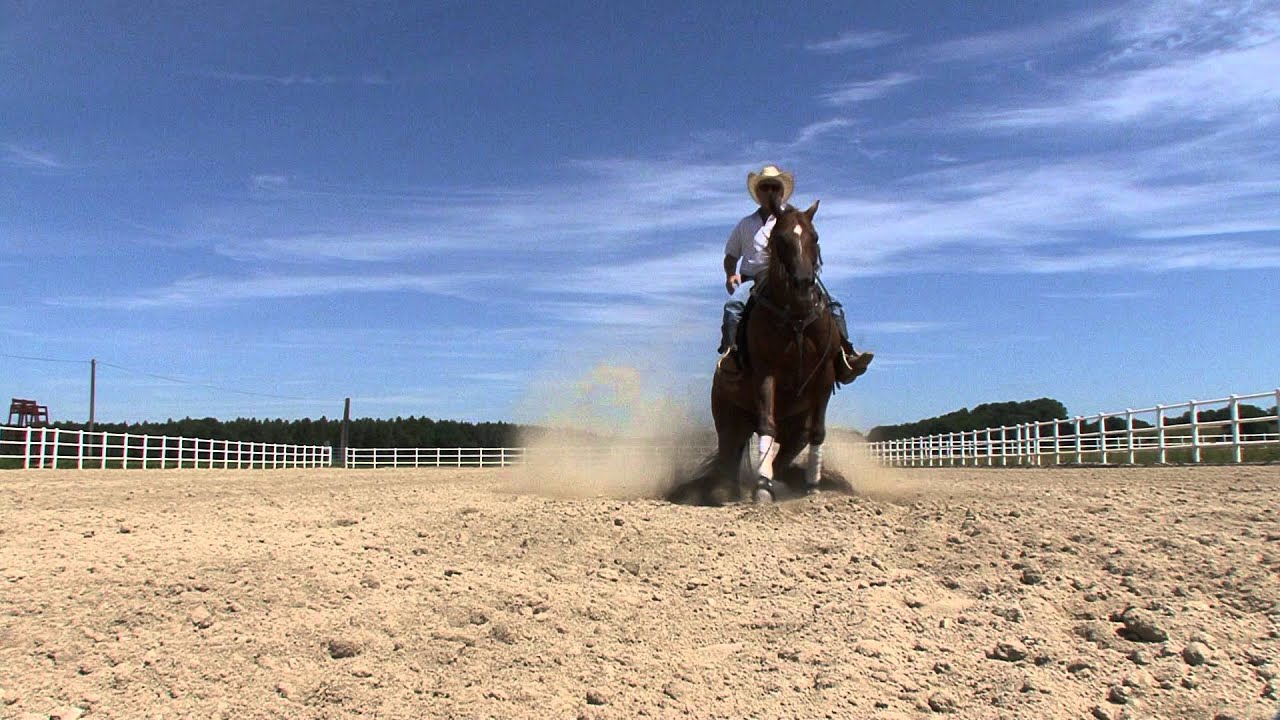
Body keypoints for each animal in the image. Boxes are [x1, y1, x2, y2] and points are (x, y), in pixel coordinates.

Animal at [698, 196, 845, 504]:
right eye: (780, 239)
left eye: (815, 237)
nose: (803, 282)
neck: (797, 317)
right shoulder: (767, 372)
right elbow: (767, 425)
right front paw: (762, 489)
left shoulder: (824, 378)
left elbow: (819, 432)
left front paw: (812, 488)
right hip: (728, 419)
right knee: (729, 453)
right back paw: (726, 490)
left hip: (794, 427)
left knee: (787, 449)